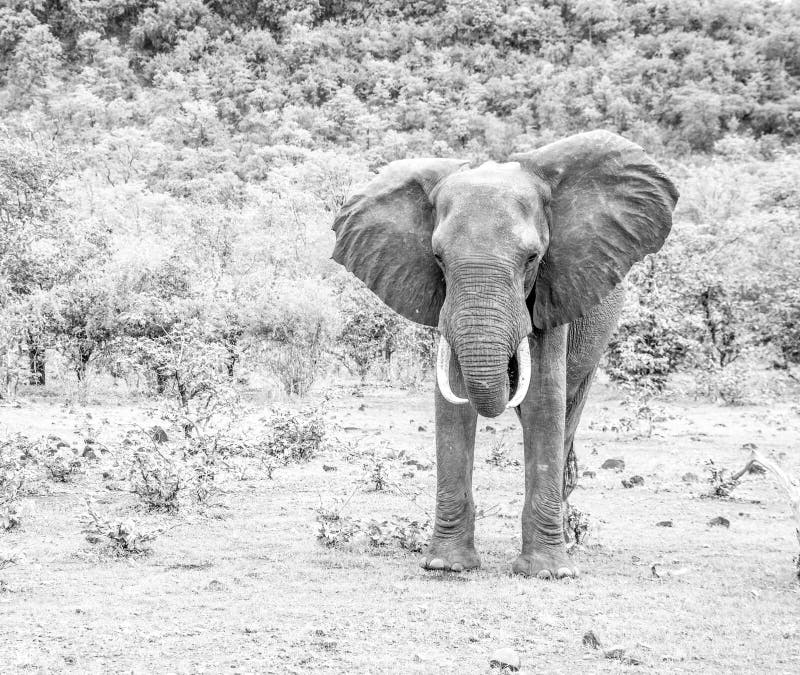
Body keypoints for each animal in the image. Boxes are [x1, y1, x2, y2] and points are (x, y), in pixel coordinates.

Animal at [331, 130, 678, 578]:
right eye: (438, 258)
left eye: (532, 258)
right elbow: (453, 404)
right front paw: (446, 565)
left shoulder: (554, 286)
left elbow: (544, 400)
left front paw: (548, 572)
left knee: (568, 410)